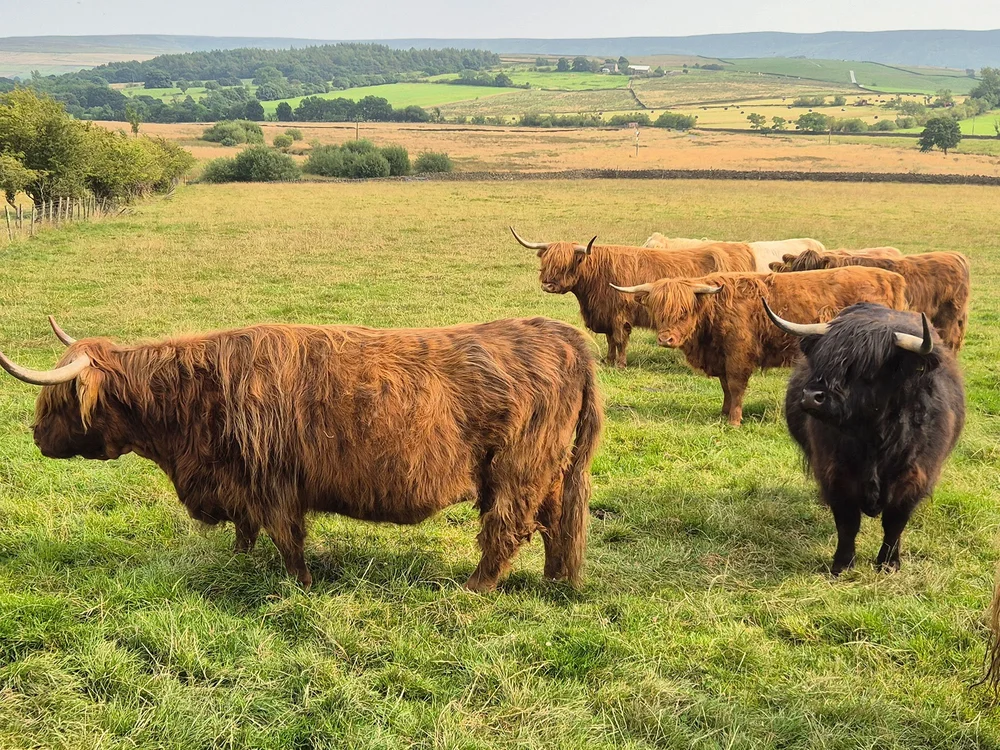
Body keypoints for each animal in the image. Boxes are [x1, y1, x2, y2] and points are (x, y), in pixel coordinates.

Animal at [0, 316, 603, 592]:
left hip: (516, 471)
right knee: (557, 525)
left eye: (56, 401)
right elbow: (246, 531)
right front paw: (240, 562)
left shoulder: (273, 482)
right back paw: (556, 583)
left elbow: (287, 539)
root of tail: (566, 337)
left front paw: (301, 587)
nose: (34, 435)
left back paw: (473, 590)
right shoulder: (239, 483)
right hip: (550, 473)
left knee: (507, 529)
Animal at [511, 227, 755, 368]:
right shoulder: (606, 315)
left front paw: (620, 364)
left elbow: (620, 340)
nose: (548, 285)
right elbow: (610, 340)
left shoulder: (620, 315)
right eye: (546, 262)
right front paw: (608, 361)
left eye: (566, 264)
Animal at [610, 267, 908, 425]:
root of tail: (892, 277)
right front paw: (723, 414)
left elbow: (736, 387)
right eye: (658, 311)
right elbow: (725, 388)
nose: (665, 339)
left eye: (684, 311)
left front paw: (734, 421)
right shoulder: (723, 357)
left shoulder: (738, 355)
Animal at [764, 301, 965, 575]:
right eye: (822, 360)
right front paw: (842, 564)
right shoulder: (836, 474)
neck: (875, 438)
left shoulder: (915, 477)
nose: (811, 396)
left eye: (866, 369)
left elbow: (894, 523)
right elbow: (847, 523)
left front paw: (889, 563)